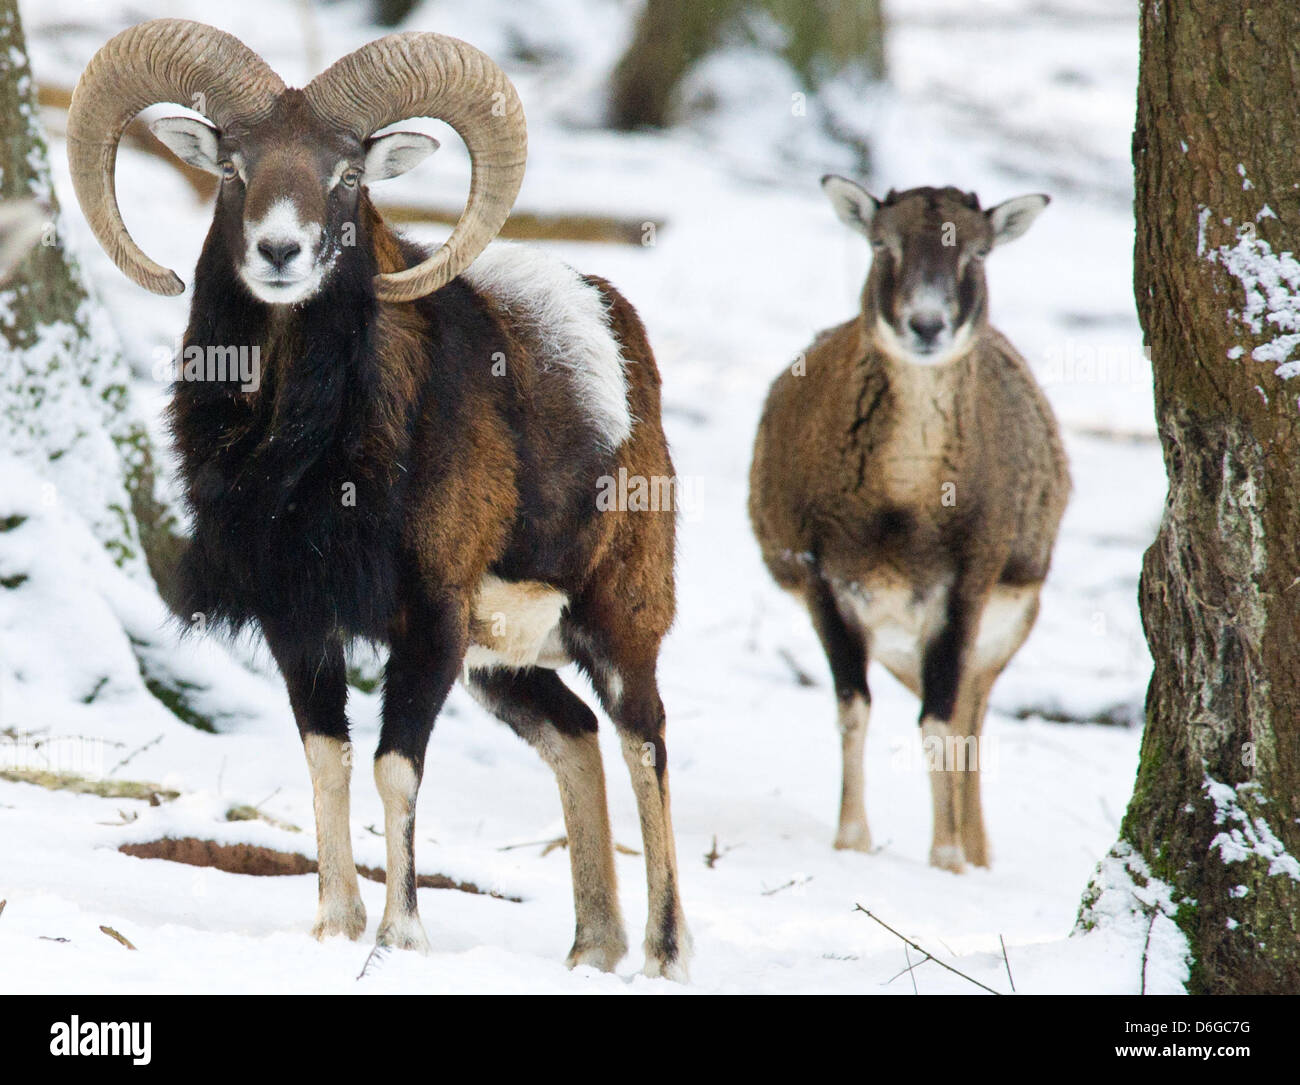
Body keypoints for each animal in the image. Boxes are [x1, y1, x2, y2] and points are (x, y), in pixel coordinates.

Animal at [67, 18, 689, 979]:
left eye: (348, 177)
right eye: (234, 166)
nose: (280, 252)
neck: (310, 458)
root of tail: (619, 340)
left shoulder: (428, 621)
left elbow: (398, 766)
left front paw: (401, 936)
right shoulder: (300, 622)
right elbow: (328, 758)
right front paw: (333, 926)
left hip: (619, 622)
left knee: (643, 738)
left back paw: (662, 955)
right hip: (501, 665)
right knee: (575, 734)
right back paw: (592, 947)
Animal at [749, 179, 1070, 873]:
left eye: (978, 253)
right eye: (881, 245)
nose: (927, 324)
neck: (901, 513)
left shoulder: (967, 585)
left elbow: (941, 725)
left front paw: (947, 856)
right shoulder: (822, 582)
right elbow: (854, 709)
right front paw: (851, 839)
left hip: (1009, 622)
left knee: (971, 709)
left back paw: (977, 850)